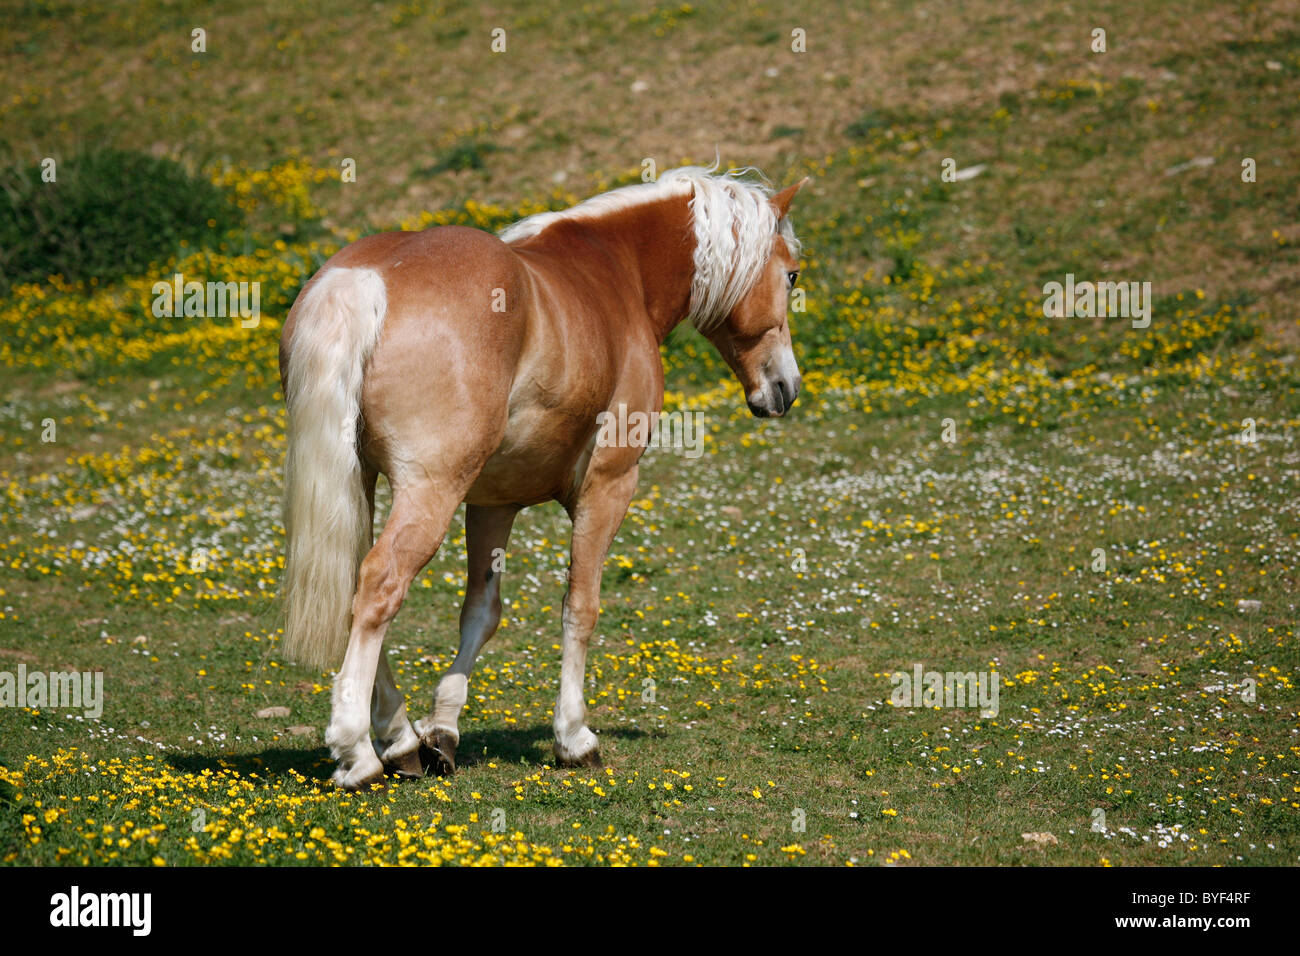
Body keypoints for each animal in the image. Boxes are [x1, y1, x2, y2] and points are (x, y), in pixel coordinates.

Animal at [278, 165, 808, 790]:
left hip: (363, 488)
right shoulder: (609, 485)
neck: (616, 270)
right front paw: (574, 737)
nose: (786, 388)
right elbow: (580, 607)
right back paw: (357, 750)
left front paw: (442, 732)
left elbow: (481, 614)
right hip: (430, 492)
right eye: (792, 274)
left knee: (351, 584)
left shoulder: (492, 502)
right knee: (380, 586)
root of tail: (365, 278)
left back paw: (401, 740)